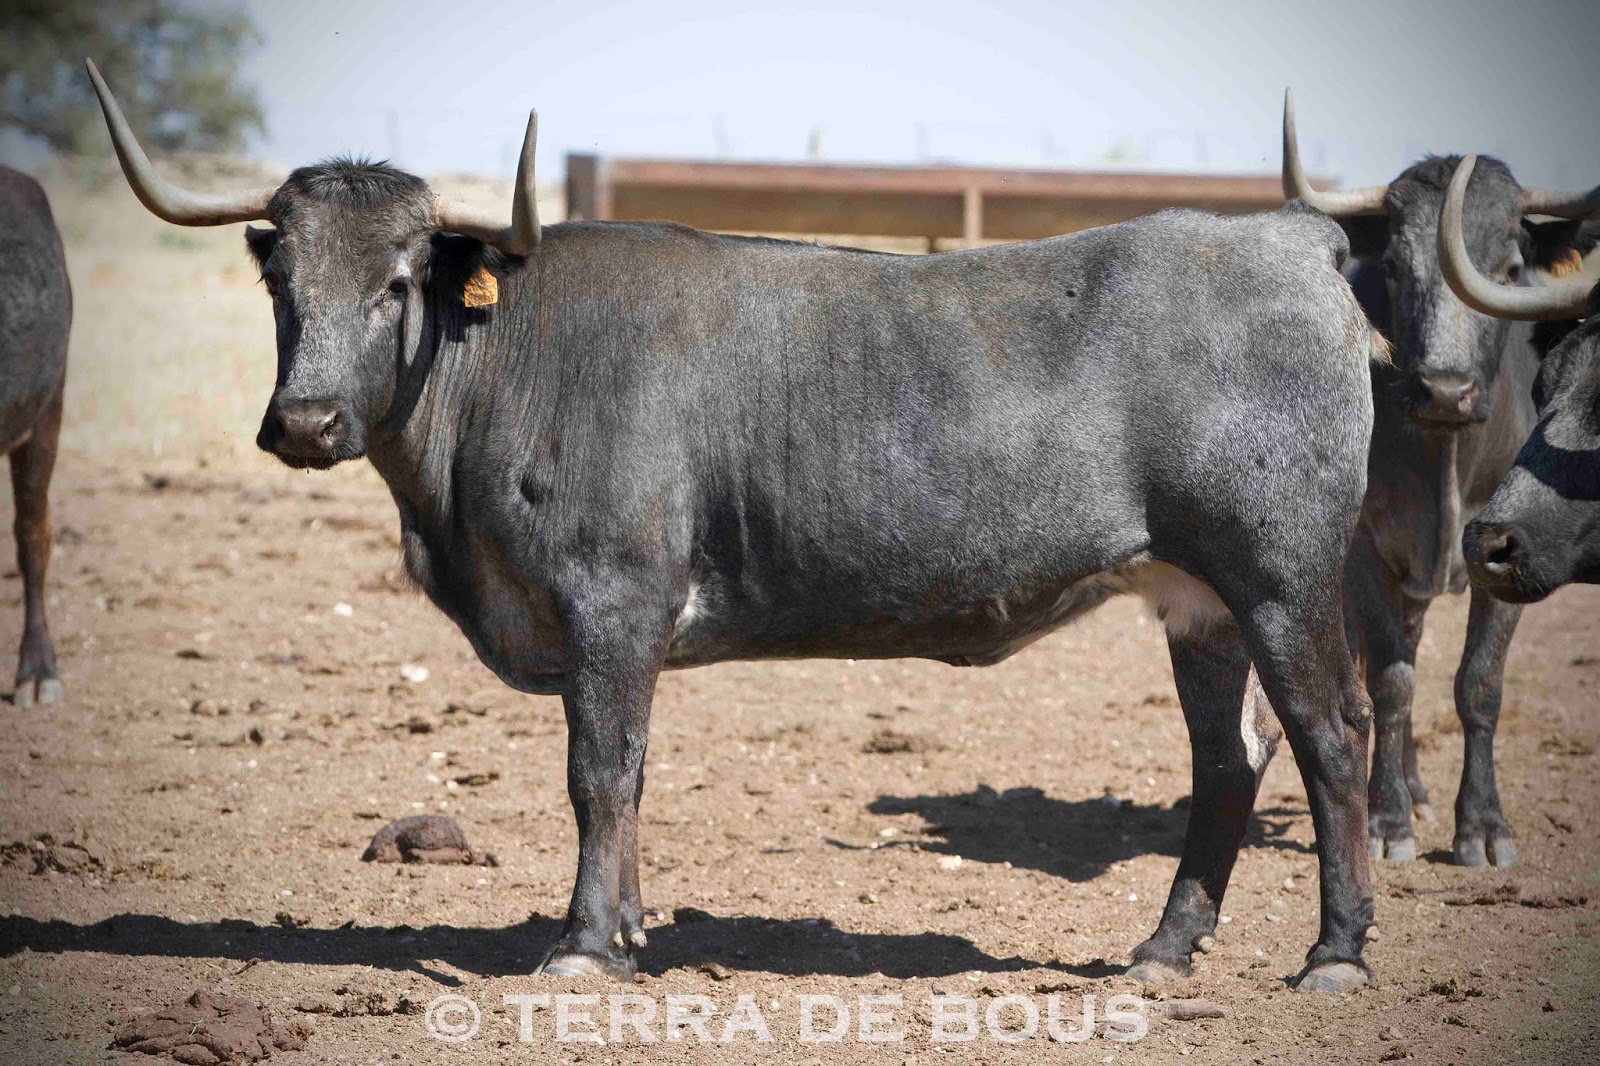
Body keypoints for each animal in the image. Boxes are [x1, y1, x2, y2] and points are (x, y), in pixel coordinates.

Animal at [89, 59, 1382, 992]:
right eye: (280, 282)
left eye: (397, 281)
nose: (305, 420)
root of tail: (1287, 237)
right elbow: (629, 771)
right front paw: (628, 928)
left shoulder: (613, 599)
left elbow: (599, 770)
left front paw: (583, 947)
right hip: (1197, 600)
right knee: (1230, 757)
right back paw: (1163, 947)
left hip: (1282, 576)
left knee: (1330, 737)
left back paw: (1333, 953)